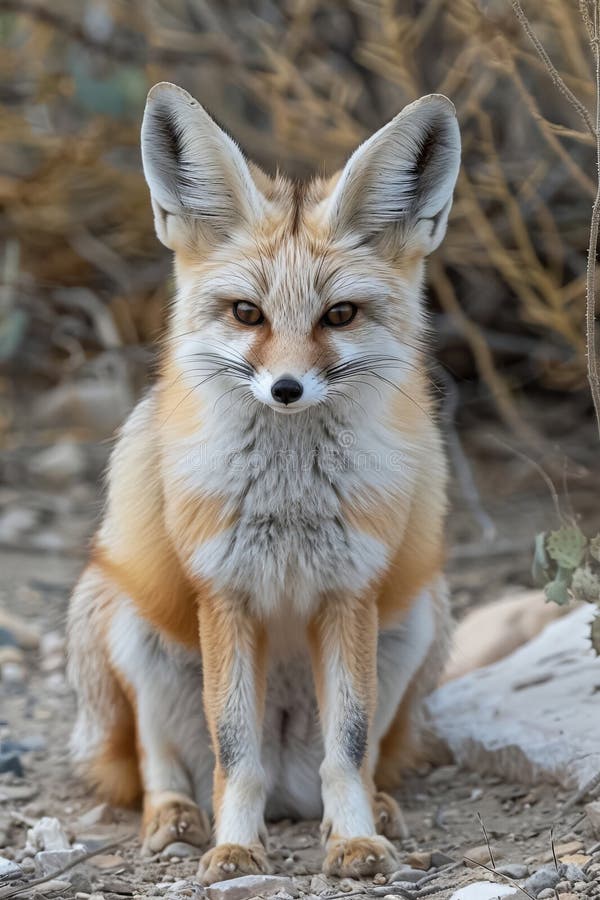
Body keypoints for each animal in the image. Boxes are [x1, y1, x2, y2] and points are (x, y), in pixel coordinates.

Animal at [67, 81, 460, 883]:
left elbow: (348, 749)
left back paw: (375, 813)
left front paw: (353, 841)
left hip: (417, 618)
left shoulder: (350, 593)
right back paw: (176, 819)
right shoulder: (225, 593)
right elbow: (234, 751)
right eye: (247, 313)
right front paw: (236, 850)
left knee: (364, 758)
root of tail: (288, 790)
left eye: (339, 314)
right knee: (158, 760)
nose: (285, 389)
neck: (290, 502)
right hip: (124, 623)